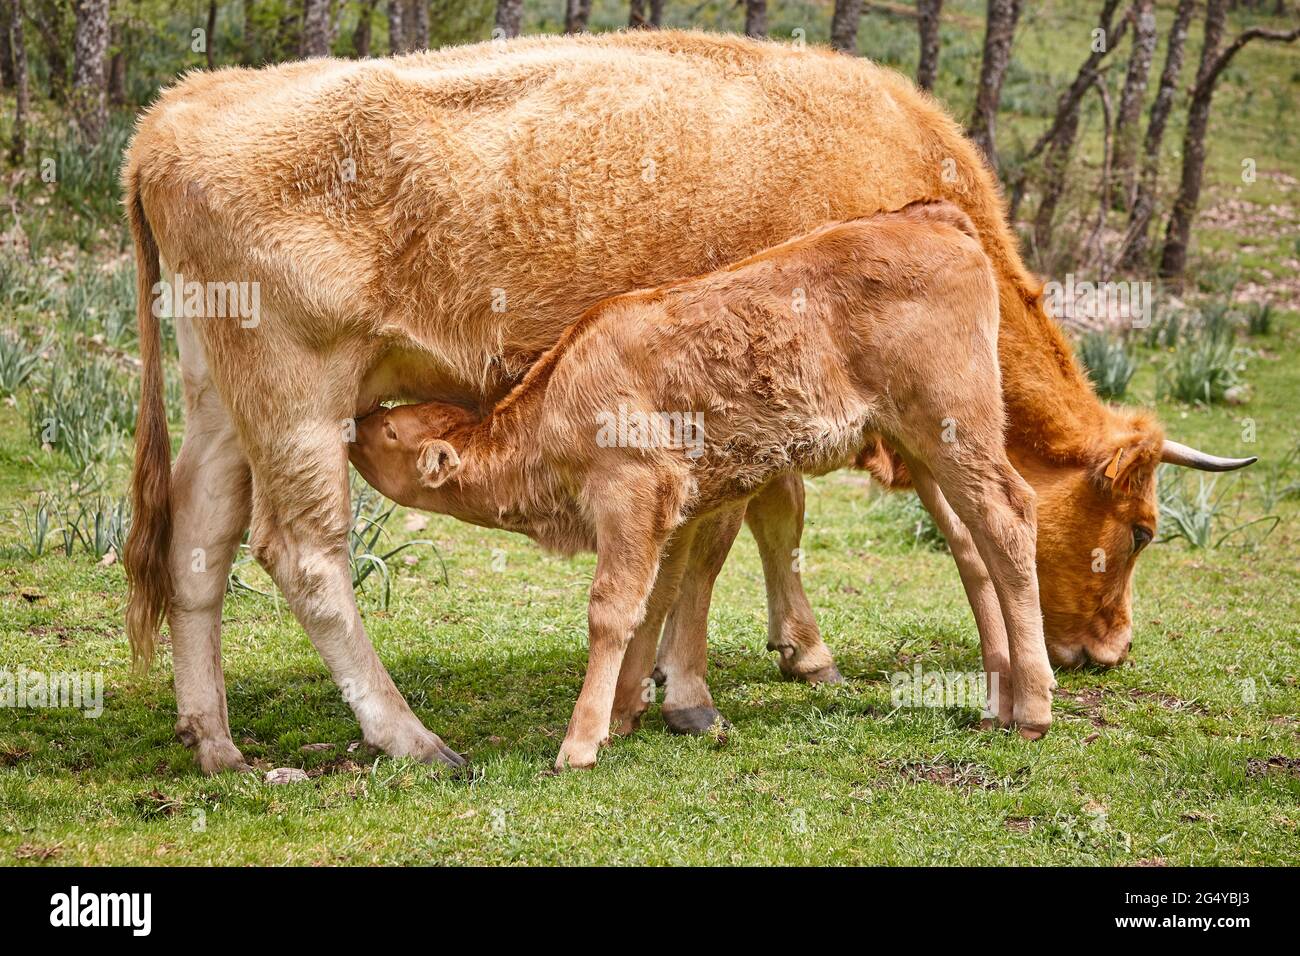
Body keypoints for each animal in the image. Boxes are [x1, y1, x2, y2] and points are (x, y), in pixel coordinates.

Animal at [350, 203, 1053, 768]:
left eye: (391, 432)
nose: (355, 422)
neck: (560, 397)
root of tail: (929, 219)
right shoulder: (674, 513)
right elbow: (659, 597)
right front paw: (626, 713)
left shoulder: (631, 495)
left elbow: (612, 608)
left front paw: (581, 742)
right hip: (922, 449)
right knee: (972, 545)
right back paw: (997, 701)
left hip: (955, 429)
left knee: (1010, 518)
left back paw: (1033, 711)